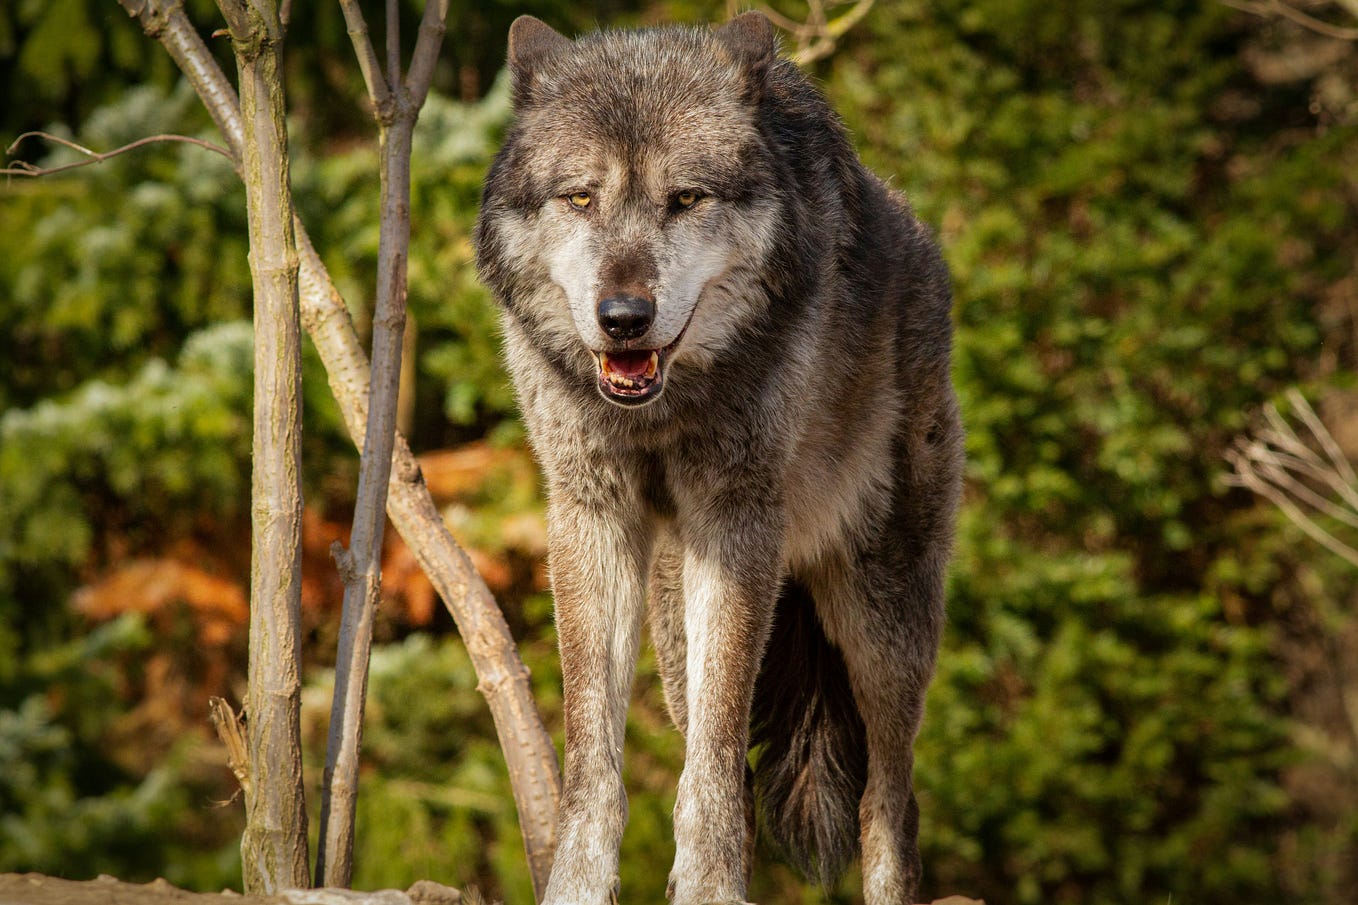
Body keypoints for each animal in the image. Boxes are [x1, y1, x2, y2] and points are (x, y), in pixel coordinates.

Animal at [474, 11, 962, 905]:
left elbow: (713, 757)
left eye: (686, 199)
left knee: (889, 801)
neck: (661, 412)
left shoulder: (738, 521)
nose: (624, 316)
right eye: (581, 197)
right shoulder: (591, 515)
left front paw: (708, 885)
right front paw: (580, 882)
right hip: (676, 633)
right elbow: (597, 753)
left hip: (881, 625)